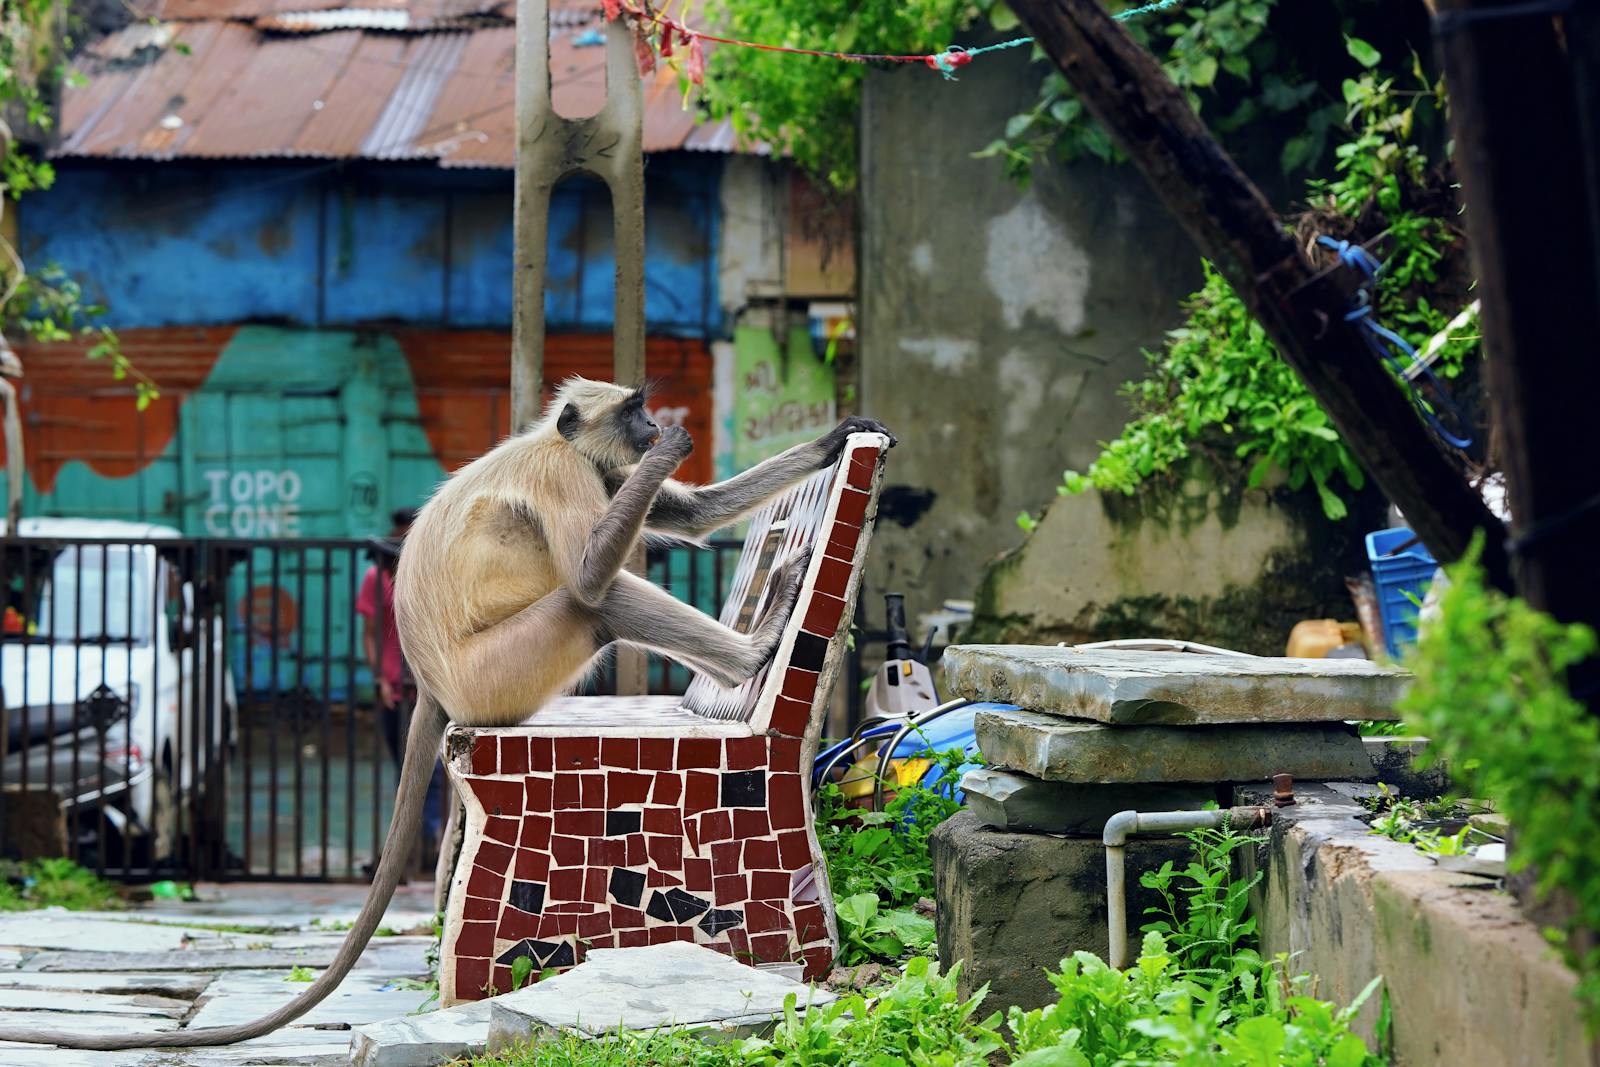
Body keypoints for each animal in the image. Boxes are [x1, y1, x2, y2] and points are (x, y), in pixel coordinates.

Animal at [0, 378, 893, 1050]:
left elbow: (697, 513)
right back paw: (757, 650)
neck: (566, 446)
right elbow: (592, 573)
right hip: (503, 673)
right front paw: (676, 448)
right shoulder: (567, 474)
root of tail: (433, 681)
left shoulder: (604, 475)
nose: (651, 427)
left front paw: (836, 438)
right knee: (594, 600)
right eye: (636, 410)